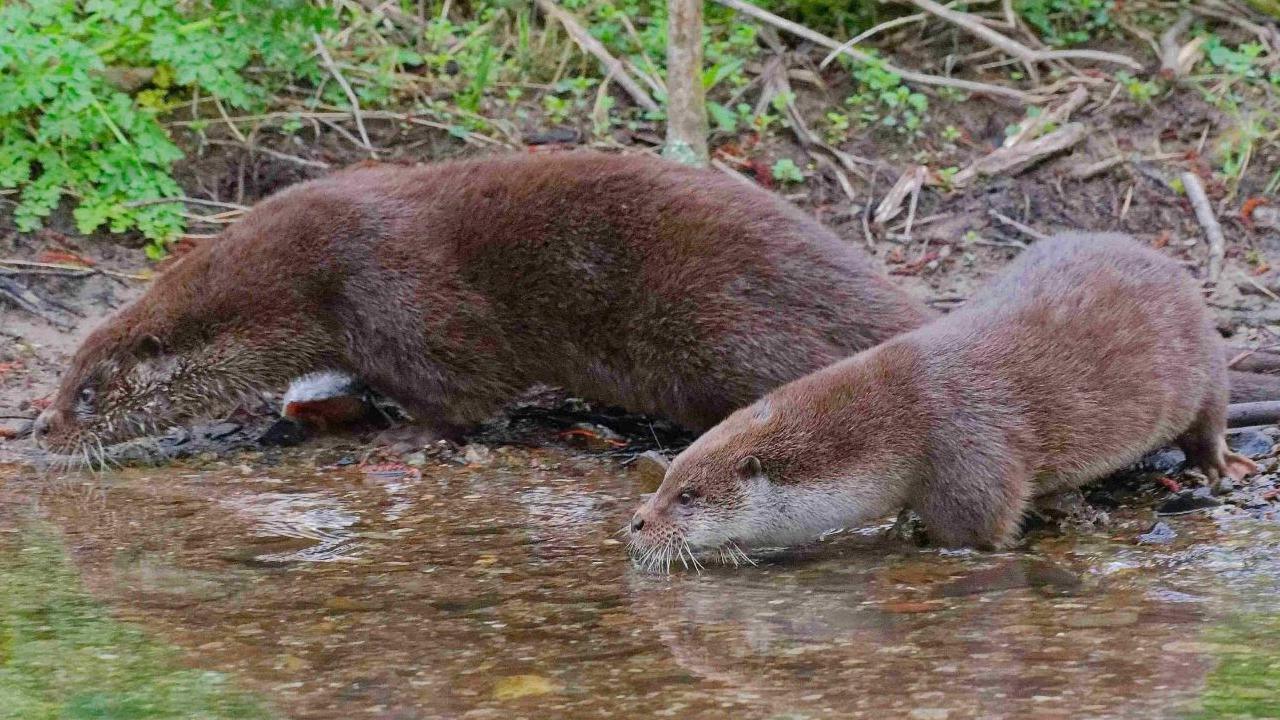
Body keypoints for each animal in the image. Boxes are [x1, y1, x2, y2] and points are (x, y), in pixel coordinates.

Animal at [32, 151, 933, 457]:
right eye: (62, 382)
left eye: (88, 392)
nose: (42, 430)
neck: (294, 282)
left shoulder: (389, 290)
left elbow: (464, 384)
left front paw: (404, 438)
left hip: (724, 326)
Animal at [628, 232, 1258, 563]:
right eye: (666, 479)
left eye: (687, 496)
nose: (636, 523)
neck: (900, 419)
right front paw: (898, 527)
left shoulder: (967, 450)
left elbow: (979, 530)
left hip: (1201, 360)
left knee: (1210, 414)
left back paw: (1220, 465)